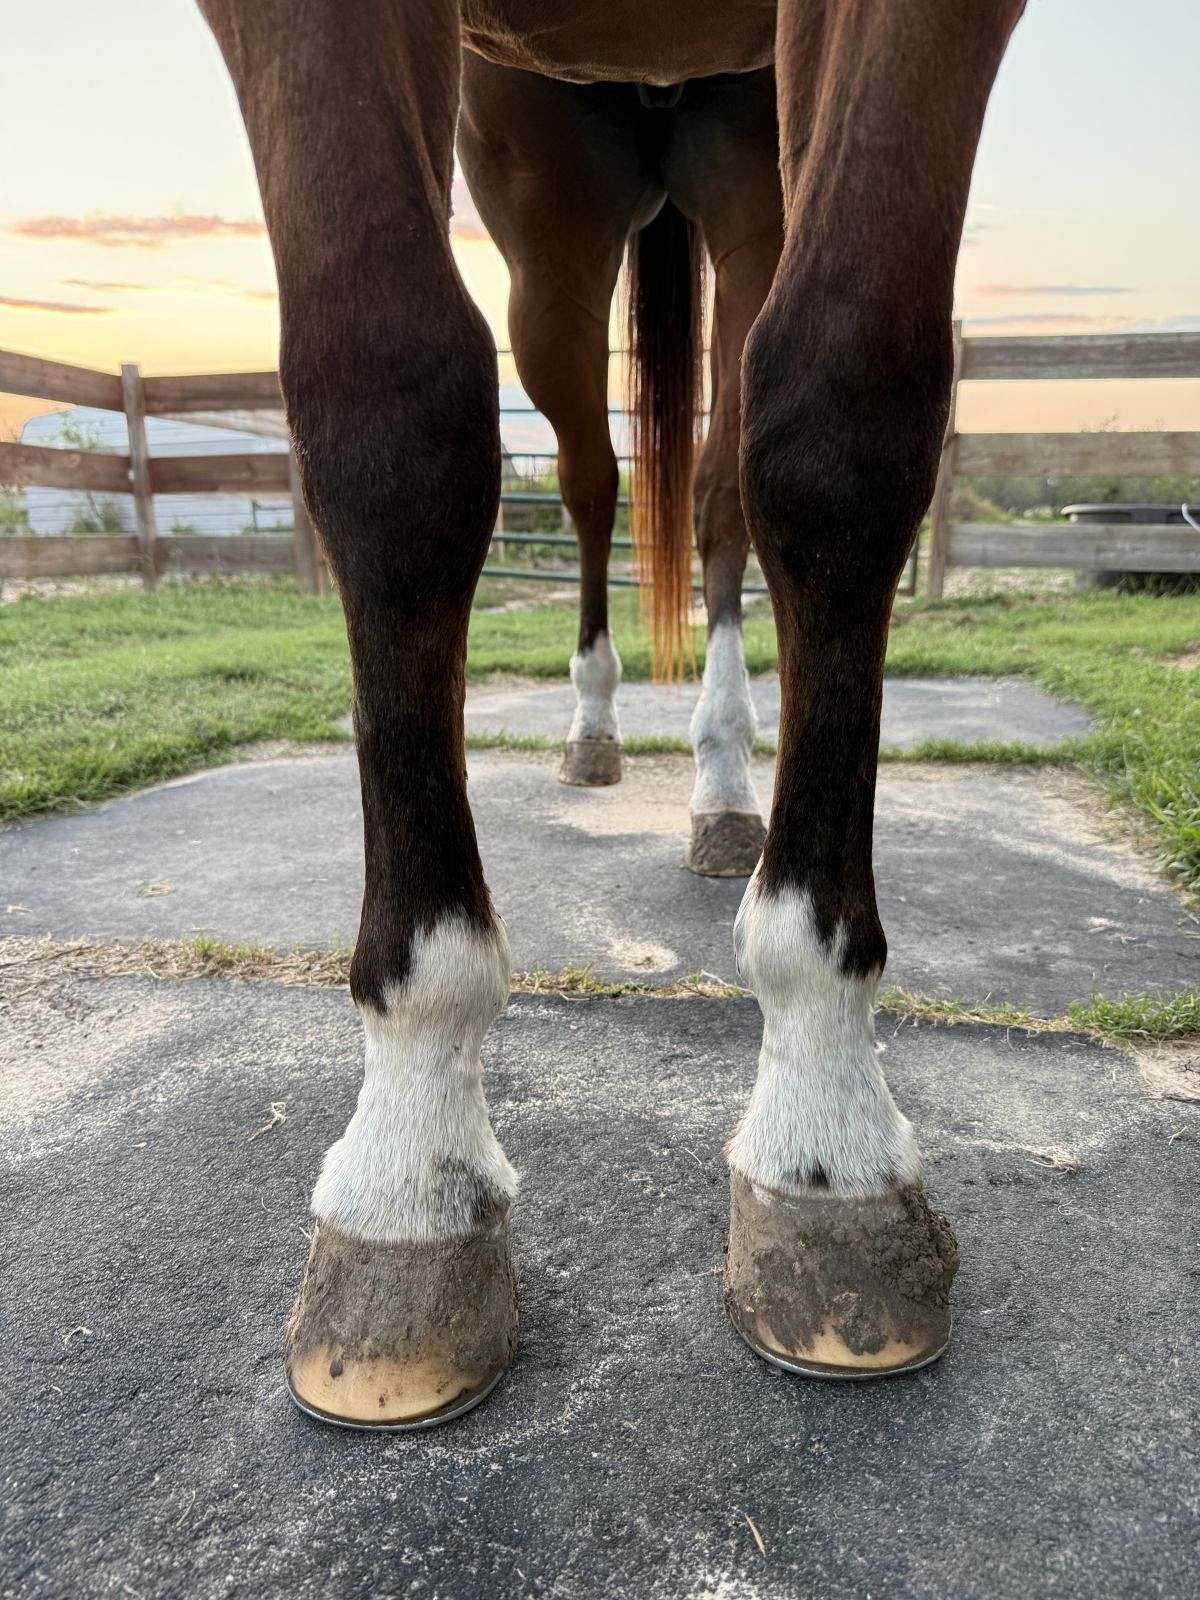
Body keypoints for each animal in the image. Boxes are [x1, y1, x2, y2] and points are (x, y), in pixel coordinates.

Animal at [197, 0, 1026, 1429]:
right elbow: (388, 415)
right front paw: (409, 1166)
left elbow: (841, 408)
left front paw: (826, 1133)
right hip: (553, 220)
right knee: (589, 473)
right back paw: (592, 730)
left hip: (746, 182)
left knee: (723, 471)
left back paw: (722, 789)